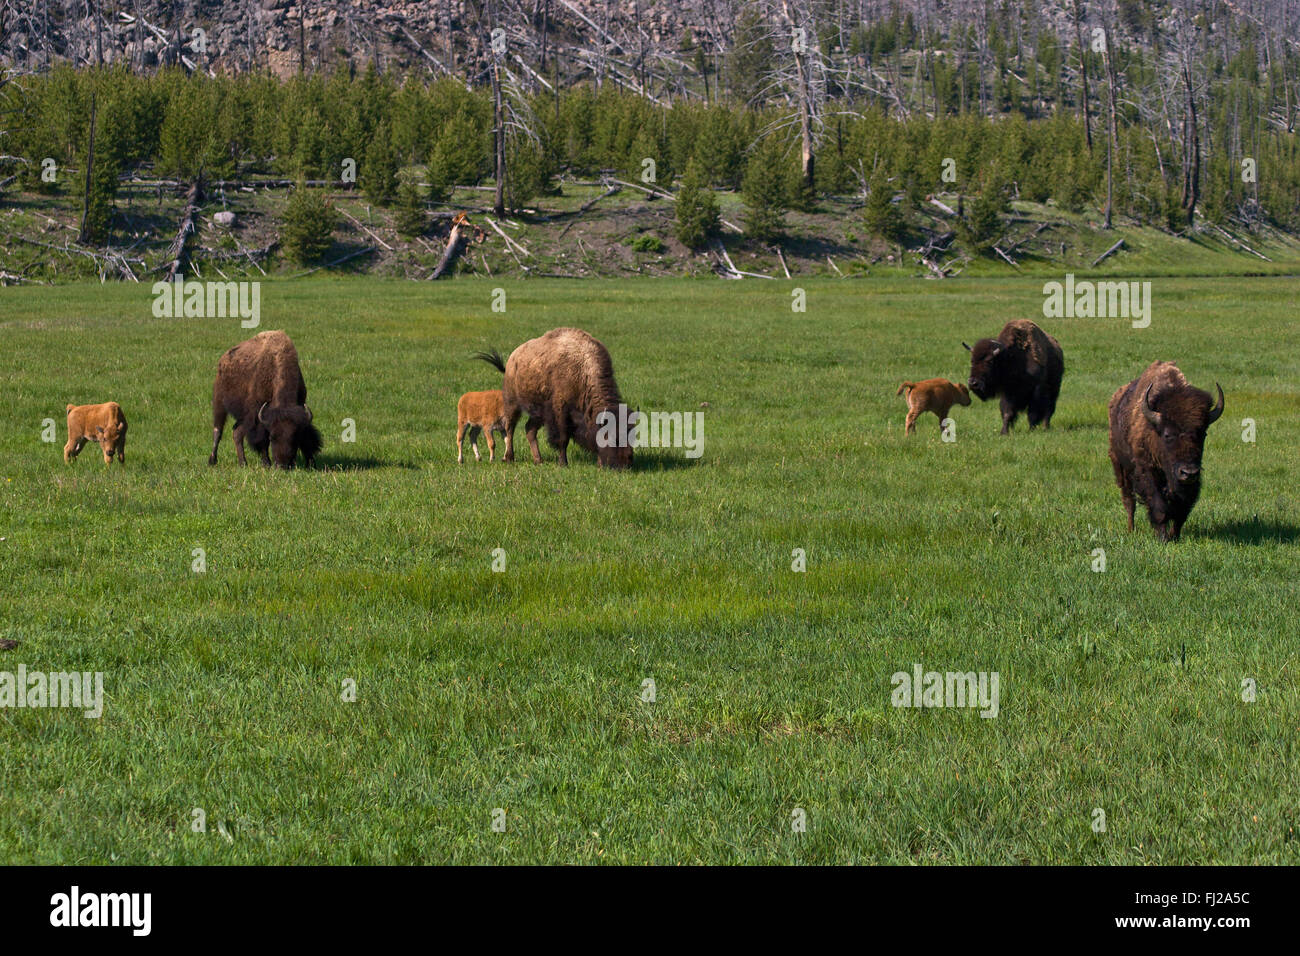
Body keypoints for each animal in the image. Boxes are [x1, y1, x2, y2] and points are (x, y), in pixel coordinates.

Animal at [208, 330, 322, 469]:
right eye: (272, 437)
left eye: (294, 437)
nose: (283, 465)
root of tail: (223, 359)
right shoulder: (258, 417)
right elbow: (262, 440)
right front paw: (266, 464)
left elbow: (307, 438)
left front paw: (311, 464)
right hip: (219, 403)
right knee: (218, 431)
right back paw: (212, 461)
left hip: (242, 416)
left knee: (236, 432)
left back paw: (243, 463)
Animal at [475, 327, 633, 469]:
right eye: (611, 436)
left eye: (631, 433)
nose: (626, 463)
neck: (583, 371)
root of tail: (512, 358)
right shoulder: (560, 412)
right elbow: (563, 438)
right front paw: (563, 463)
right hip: (513, 403)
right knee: (510, 428)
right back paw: (509, 458)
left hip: (538, 413)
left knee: (529, 429)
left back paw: (538, 460)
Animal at [1108, 361, 1223, 541]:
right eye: (1168, 435)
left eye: (1202, 433)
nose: (1188, 472)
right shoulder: (1147, 472)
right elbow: (1159, 507)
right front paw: (1162, 538)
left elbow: (1181, 510)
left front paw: (1174, 536)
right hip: (1121, 466)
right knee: (1129, 501)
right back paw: (1131, 530)